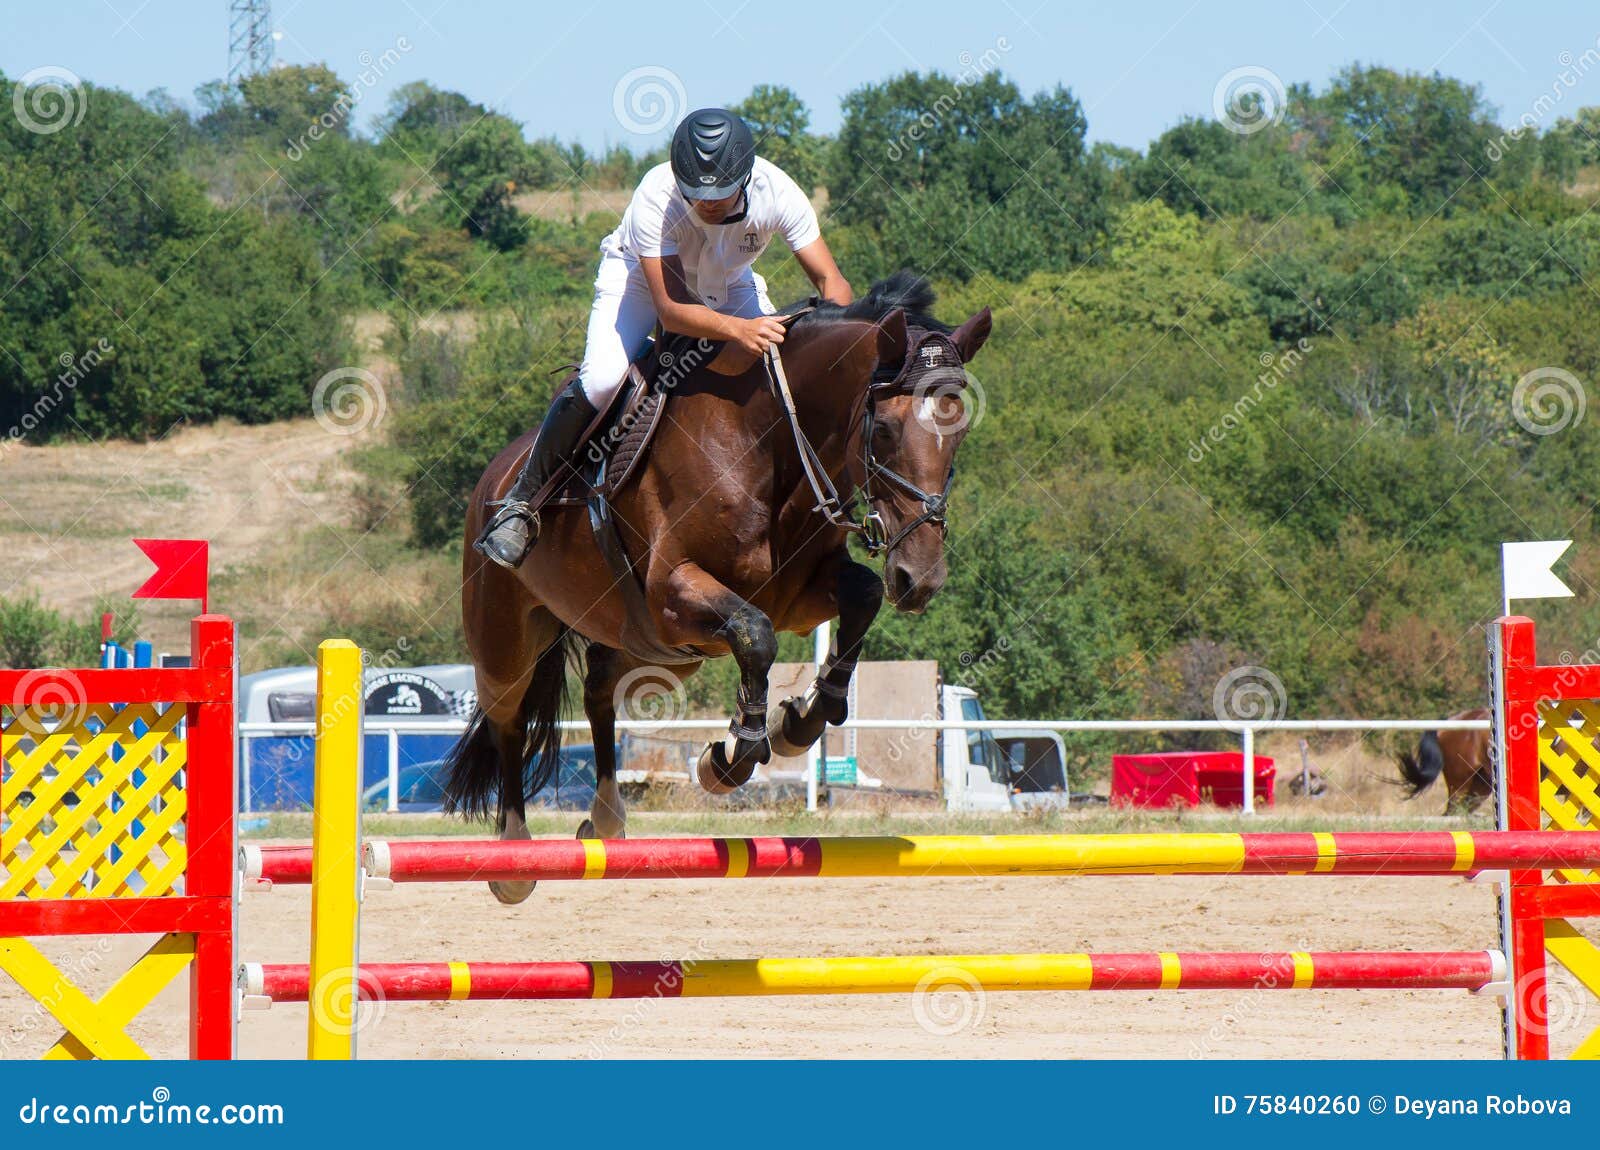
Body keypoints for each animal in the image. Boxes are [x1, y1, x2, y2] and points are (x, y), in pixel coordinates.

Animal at [442, 272, 992, 901]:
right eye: (884, 429)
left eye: (959, 433)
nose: (919, 579)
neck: (769, 440)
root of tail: (497, 472)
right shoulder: (673, 591)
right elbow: (756, 636)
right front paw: (737, 752)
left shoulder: (798, 596)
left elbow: (861, 598)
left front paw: (803, 719)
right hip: (511, 638)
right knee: (508, 720)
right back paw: (512, 854)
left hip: (656, 647)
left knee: (600, 689)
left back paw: (605, 818)